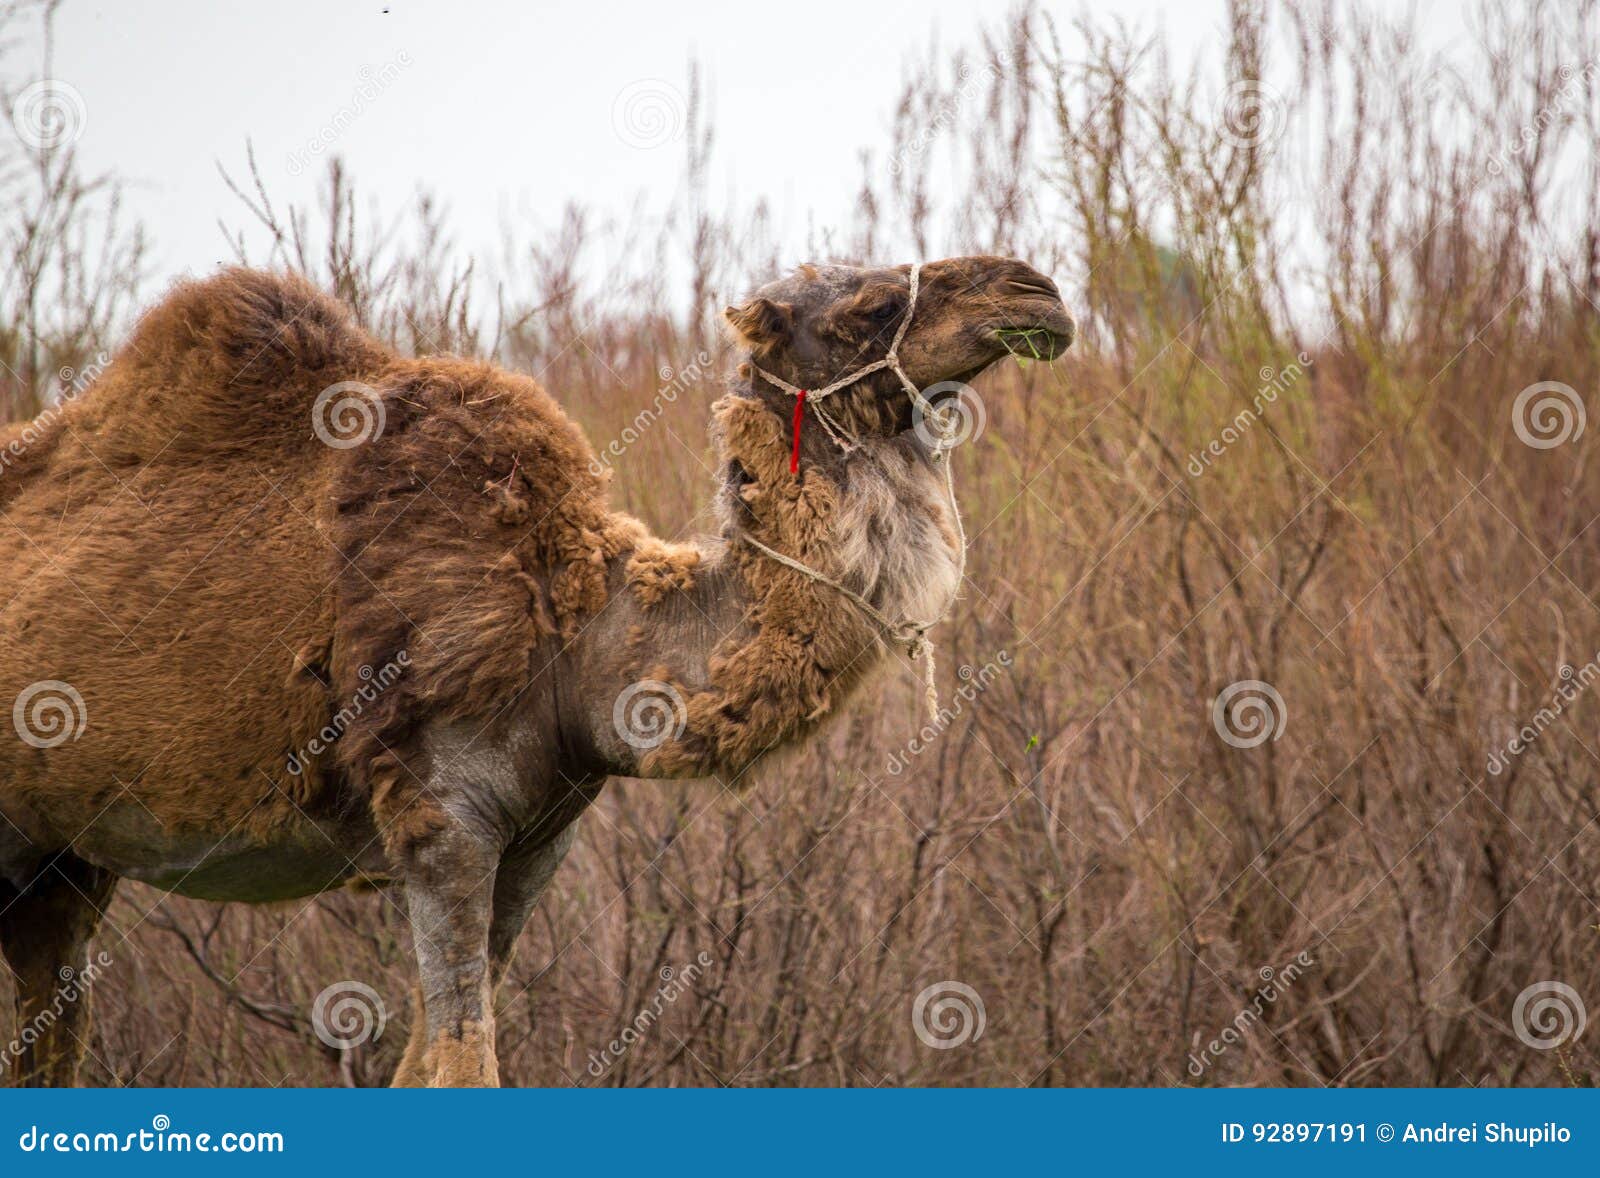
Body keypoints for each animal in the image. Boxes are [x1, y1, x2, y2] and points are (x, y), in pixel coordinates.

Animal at [0, 254, 1073, 1087]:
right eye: (867, 307)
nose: (1039, 292)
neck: (579, 640)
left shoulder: (536, 840)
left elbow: (426, 1062)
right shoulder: (441, 822)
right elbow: (461, 1065)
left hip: (65, 863)